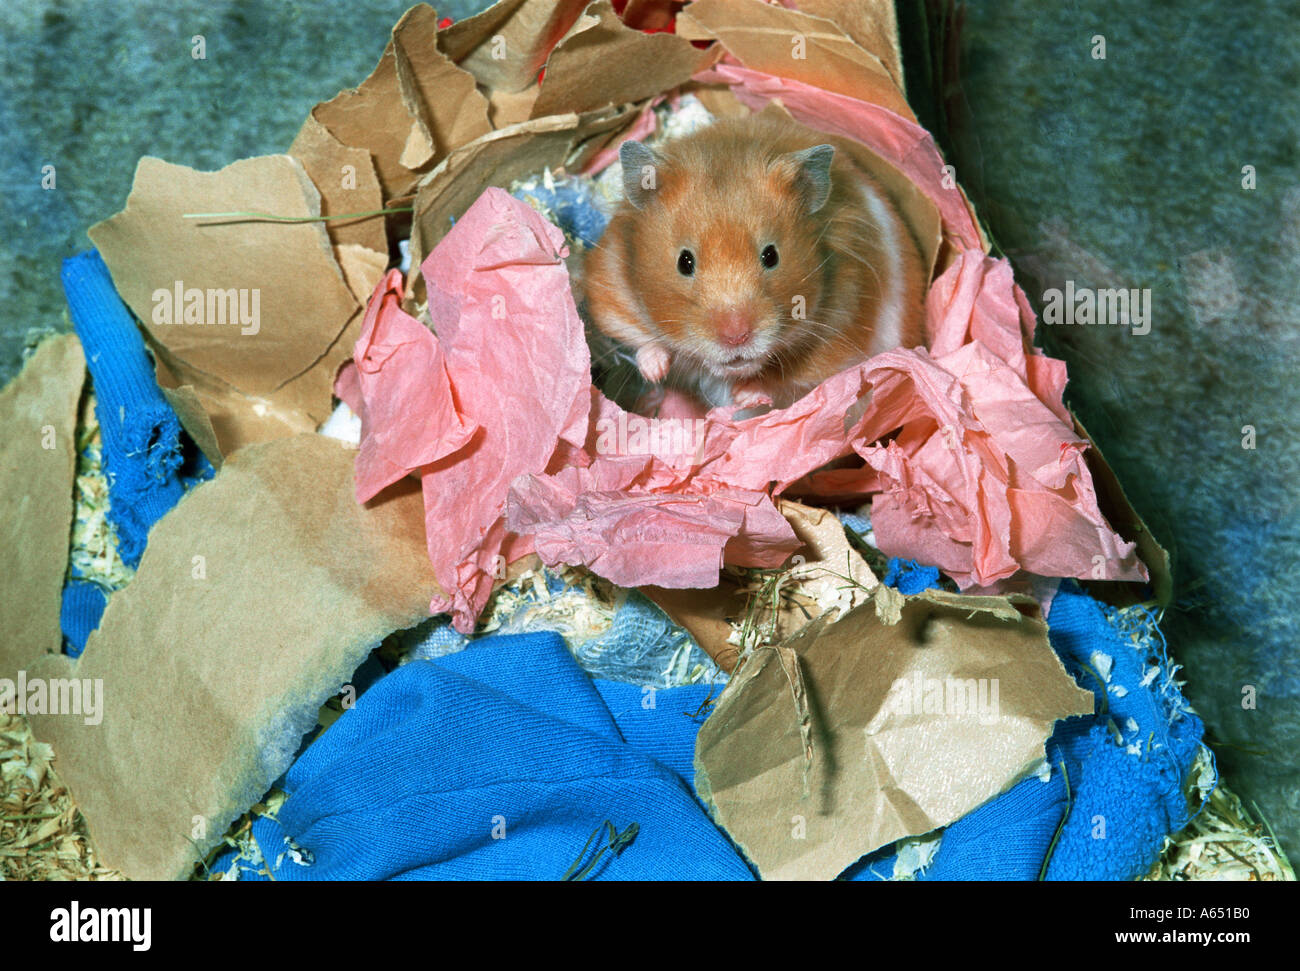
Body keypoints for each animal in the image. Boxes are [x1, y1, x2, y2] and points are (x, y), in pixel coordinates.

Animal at [581, 114, 928, 412]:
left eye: (771, 256)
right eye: (684, 262)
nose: (736, 338)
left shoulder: (840, 333)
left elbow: (786, 379)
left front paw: (745, 396)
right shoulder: (611, 288)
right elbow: (642, 342)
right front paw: (656, 370)